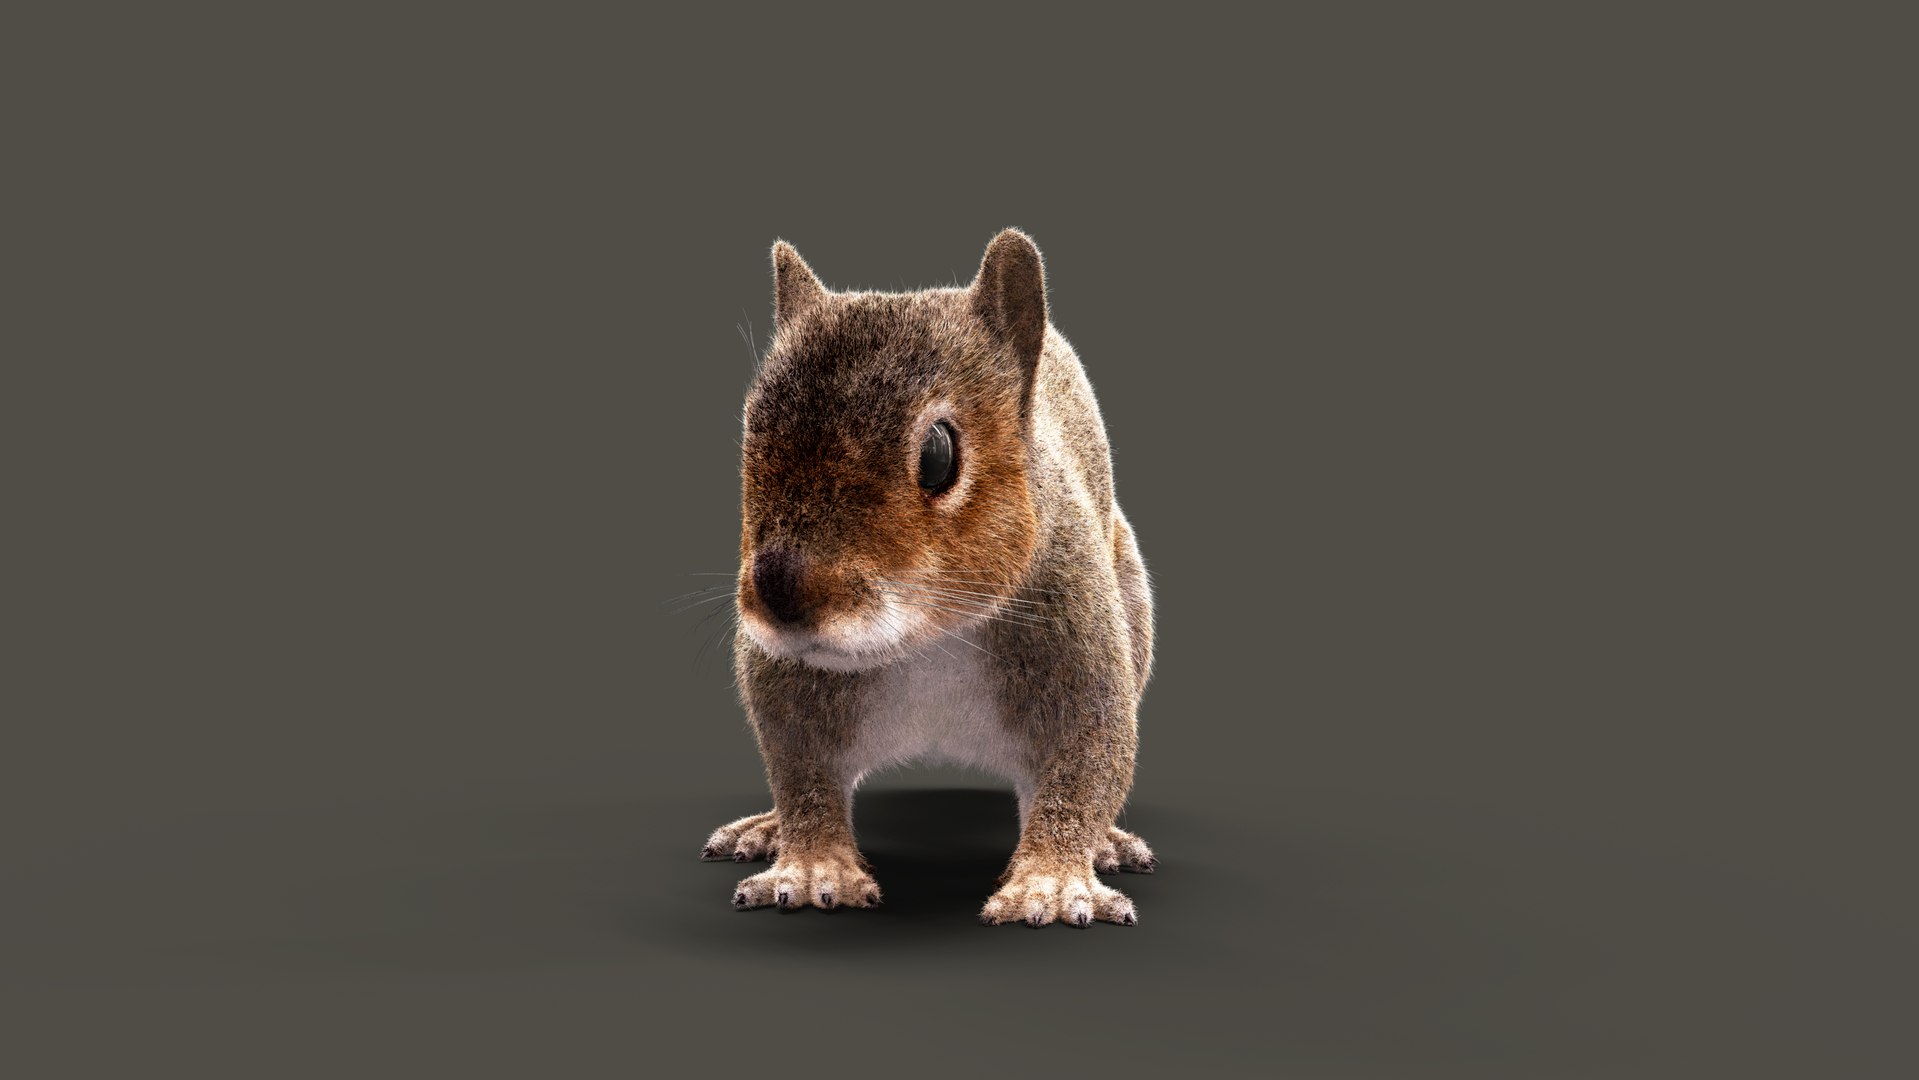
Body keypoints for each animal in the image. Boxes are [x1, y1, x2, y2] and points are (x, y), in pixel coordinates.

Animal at [700, 229, 1156, 928]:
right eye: (751, 428)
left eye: (939, 455)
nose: (781, 597)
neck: (929, 641)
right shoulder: (785, 679)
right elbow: (800, 768)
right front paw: (812, 864)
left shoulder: (1077, 640)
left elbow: (1088, 758)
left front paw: (1051, 881)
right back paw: (768, 827)